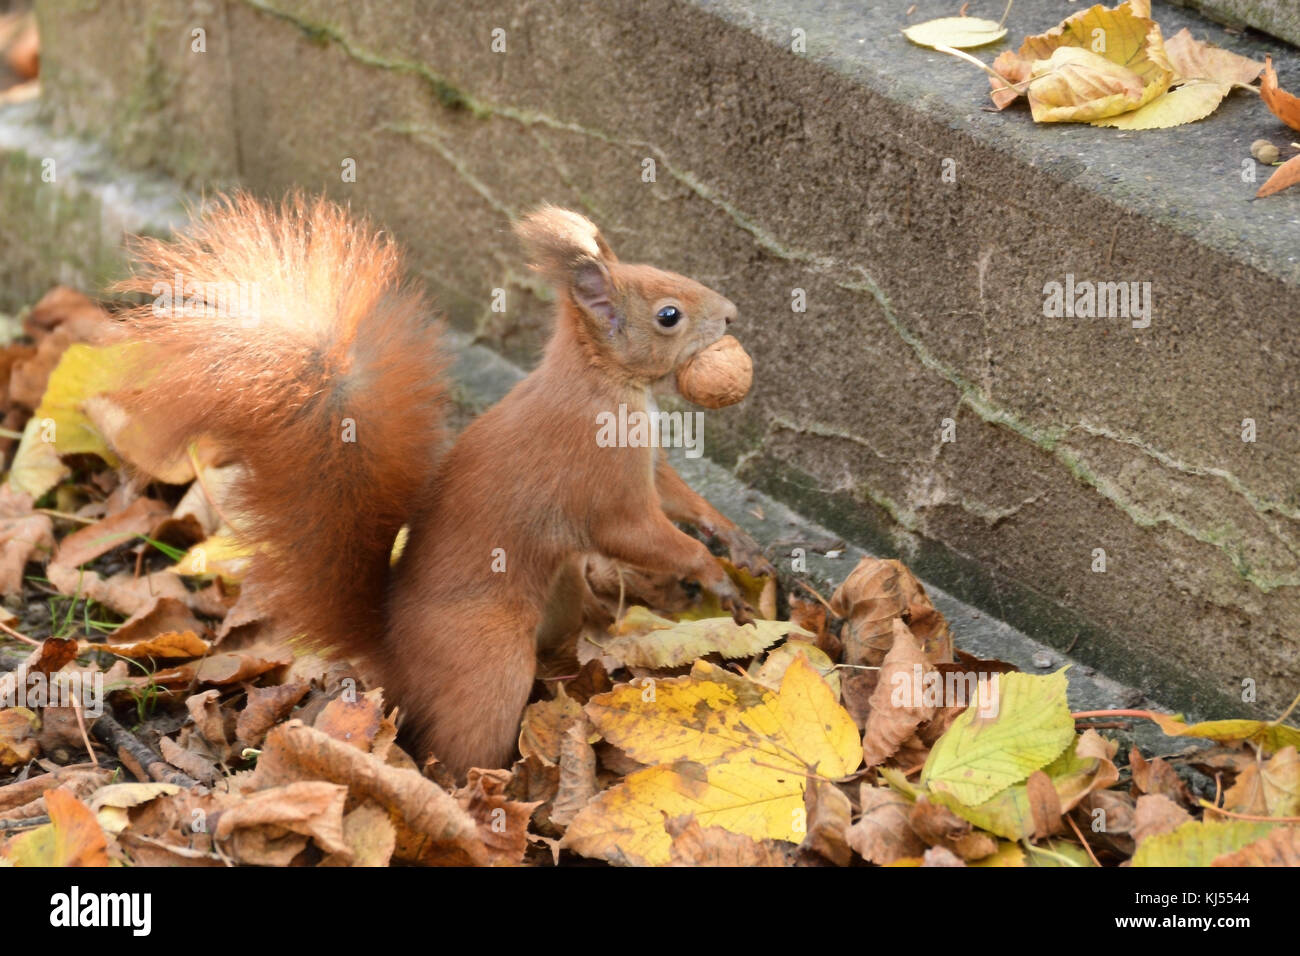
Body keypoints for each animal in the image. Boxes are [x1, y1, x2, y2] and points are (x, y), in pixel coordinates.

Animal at [114, 192, 771, 776]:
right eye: (669, 315)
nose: (734, 314)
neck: (598, 381)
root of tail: (393, 656)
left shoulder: (647, 463)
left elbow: (679, 496)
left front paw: (735, 539)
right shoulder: (601, 478)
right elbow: (638, 532)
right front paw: (712, 571)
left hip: (557, 600)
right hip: (487, 660)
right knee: (460, 745)